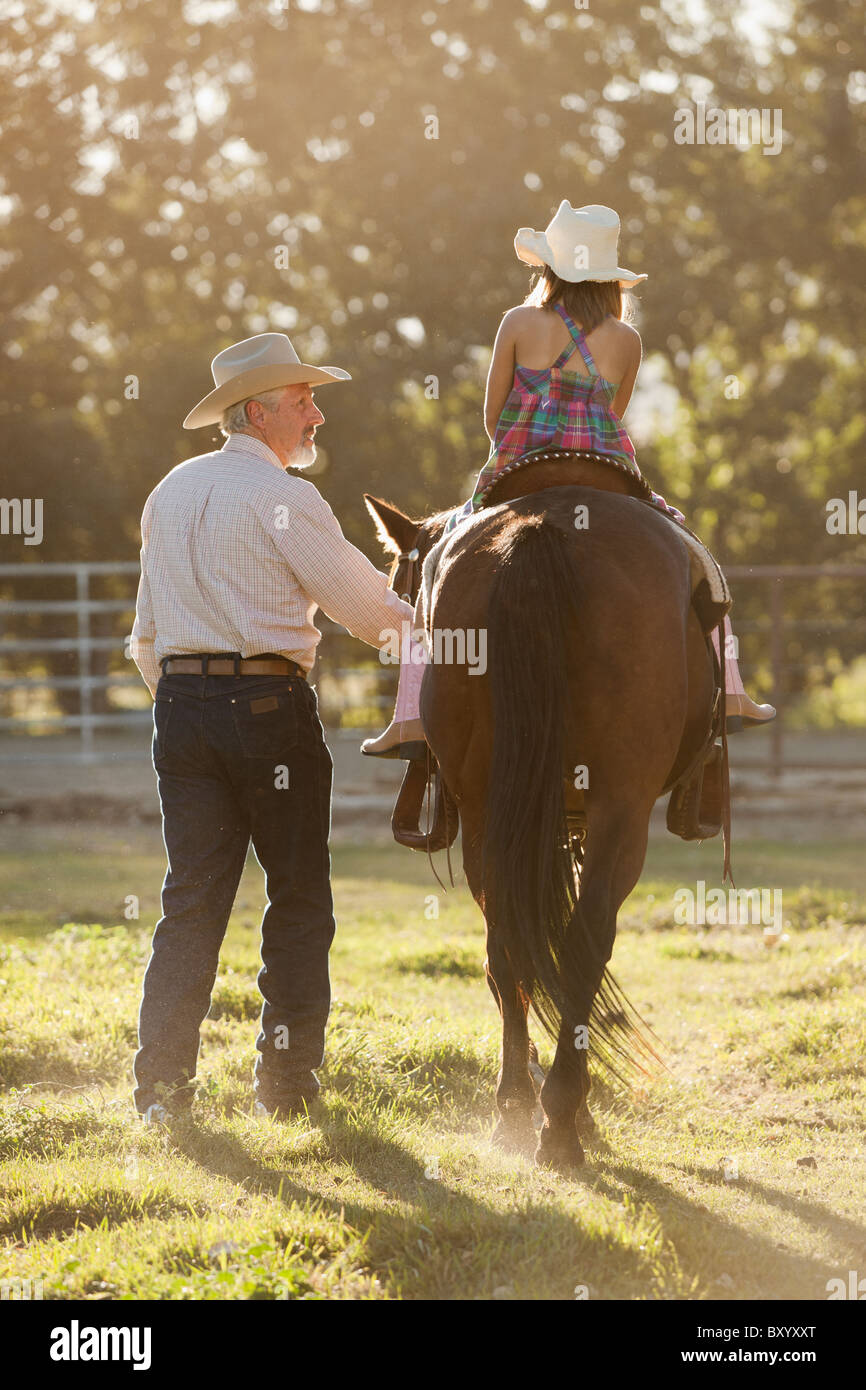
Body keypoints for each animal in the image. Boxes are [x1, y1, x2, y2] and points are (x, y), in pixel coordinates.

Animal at [365, 478, 717, 1172]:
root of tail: (539, 531)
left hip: (487, 808)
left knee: (507, 943)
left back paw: (515, 1109)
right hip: (618, 806)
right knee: (583, 940)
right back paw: (558, 1119)